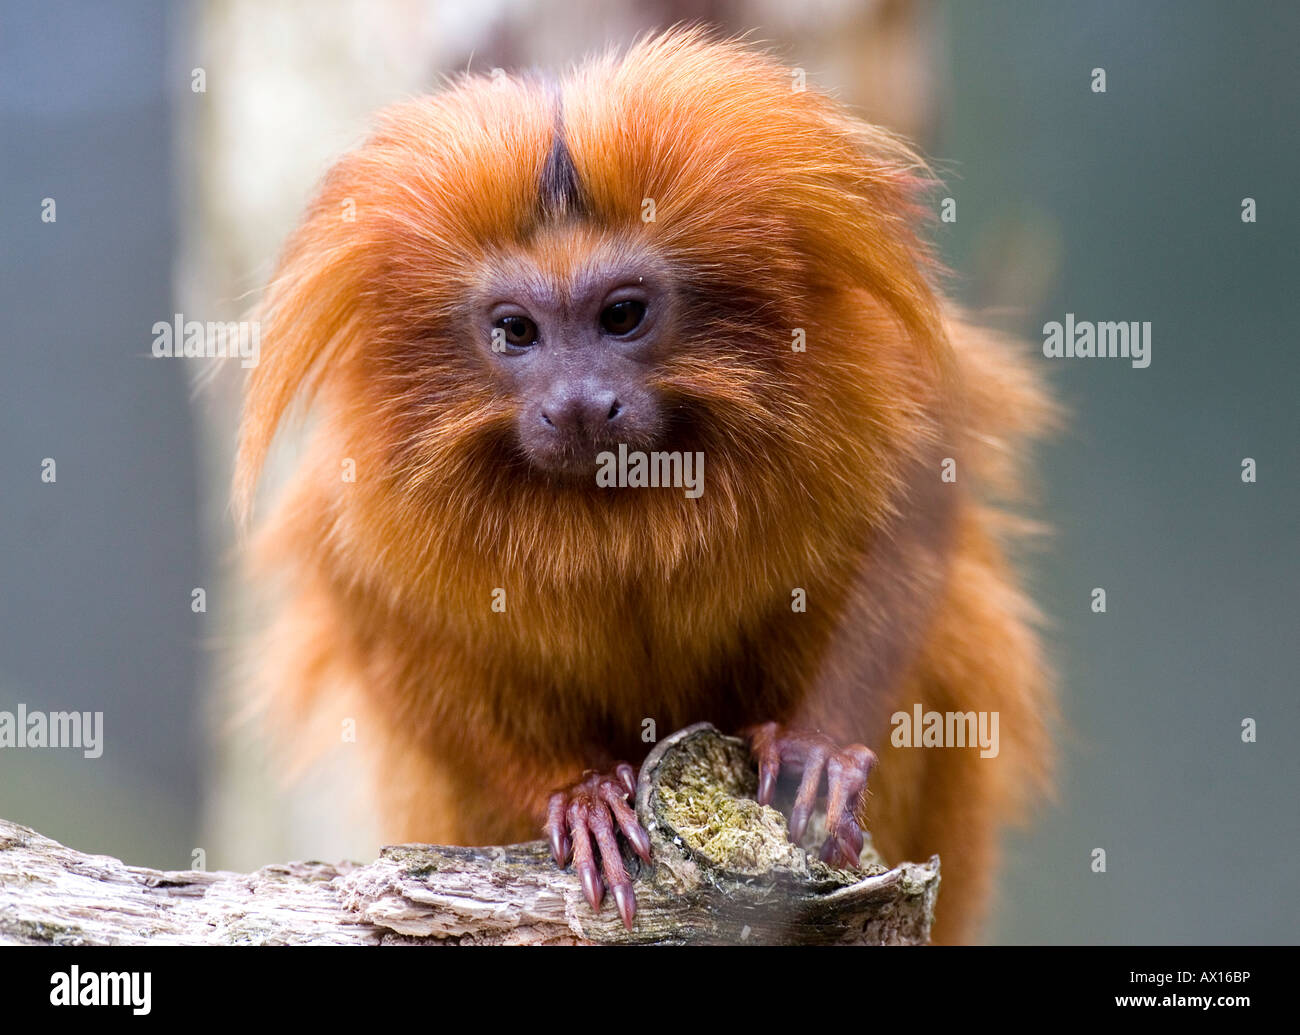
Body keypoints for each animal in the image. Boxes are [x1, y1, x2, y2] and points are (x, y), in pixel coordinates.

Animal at [234, 28, 1055, 944]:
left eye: (621, 315)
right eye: (516, 330)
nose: (579, 402)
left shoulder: (890, 414)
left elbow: (905, 586)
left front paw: (820, 751)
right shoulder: (363, 526)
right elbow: (416, 661)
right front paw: (579, 795)